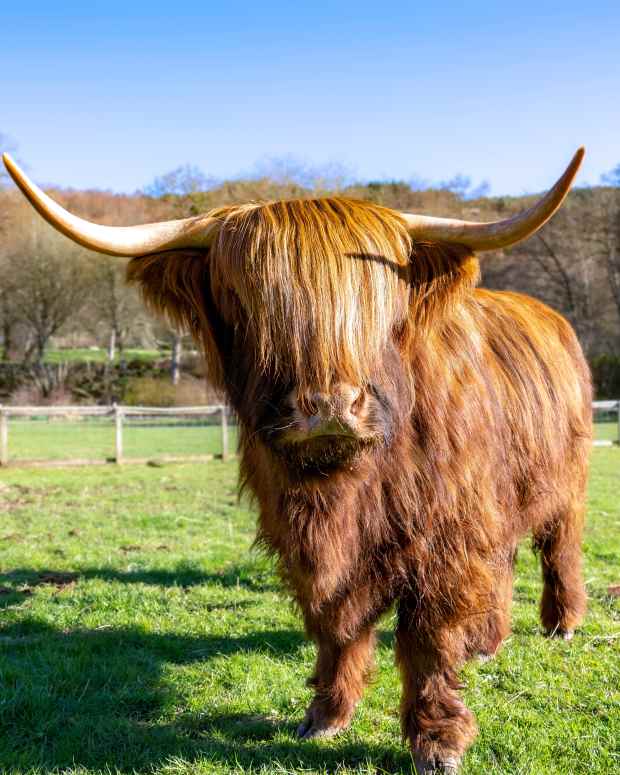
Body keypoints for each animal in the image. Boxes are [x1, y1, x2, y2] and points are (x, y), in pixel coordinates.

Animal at [3, 148, 591, 774]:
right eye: (243, 297)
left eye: (379, 298)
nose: (329, 406)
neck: (349, 489)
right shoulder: (305, 535)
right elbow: (335, 621)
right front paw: (327, 714)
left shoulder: (446, 534)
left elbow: (428, 637)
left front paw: (438, 741)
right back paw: (486, 642)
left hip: (564, 486)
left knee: (558, 548)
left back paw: (560, 625)